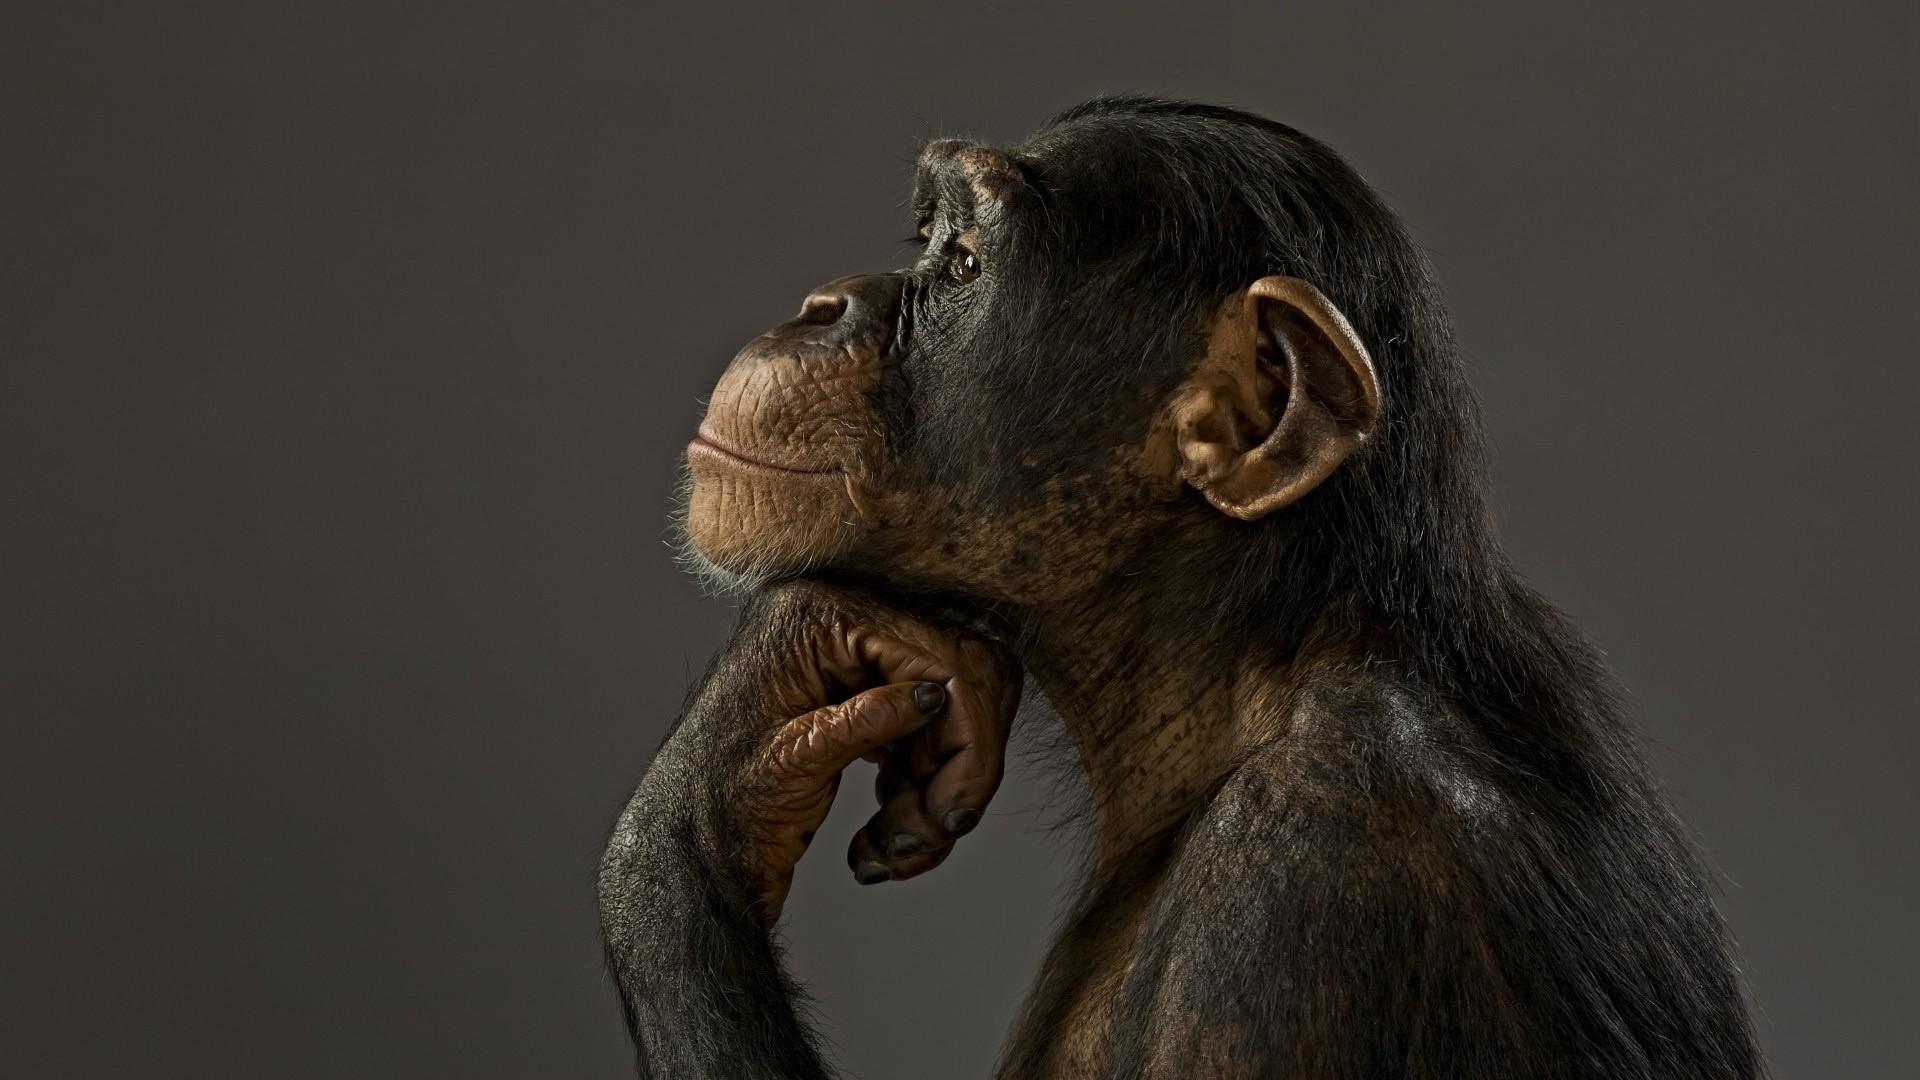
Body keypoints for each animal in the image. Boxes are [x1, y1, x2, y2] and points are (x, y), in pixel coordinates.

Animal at [597, 96, 1763, 1079]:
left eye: (965, 263)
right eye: (925, 239)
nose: (821, 304)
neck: (1254, 671)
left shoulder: (1308, 891)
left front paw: (718, 764)